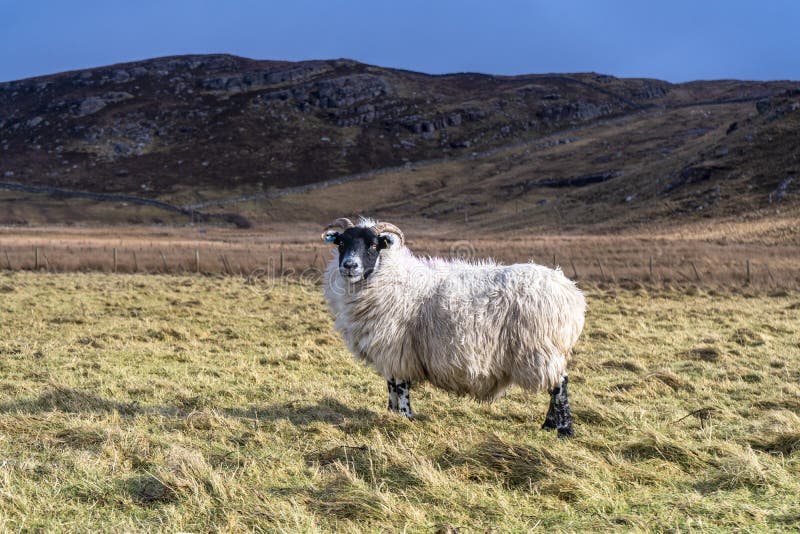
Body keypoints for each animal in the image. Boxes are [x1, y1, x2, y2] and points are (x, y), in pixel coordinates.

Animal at [321, 217, 586, 437]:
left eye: (374, 246)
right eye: (341, 242)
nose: (349, 266)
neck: (387, 276)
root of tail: (571, 292)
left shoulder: (399, 348)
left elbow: (401, 387)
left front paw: (406, 417)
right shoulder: (390, 352)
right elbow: (390, 386)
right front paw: (391, 414)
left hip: (543, 347)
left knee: (559, 384)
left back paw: (563, 429)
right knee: (556, 383)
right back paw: (549, 425)